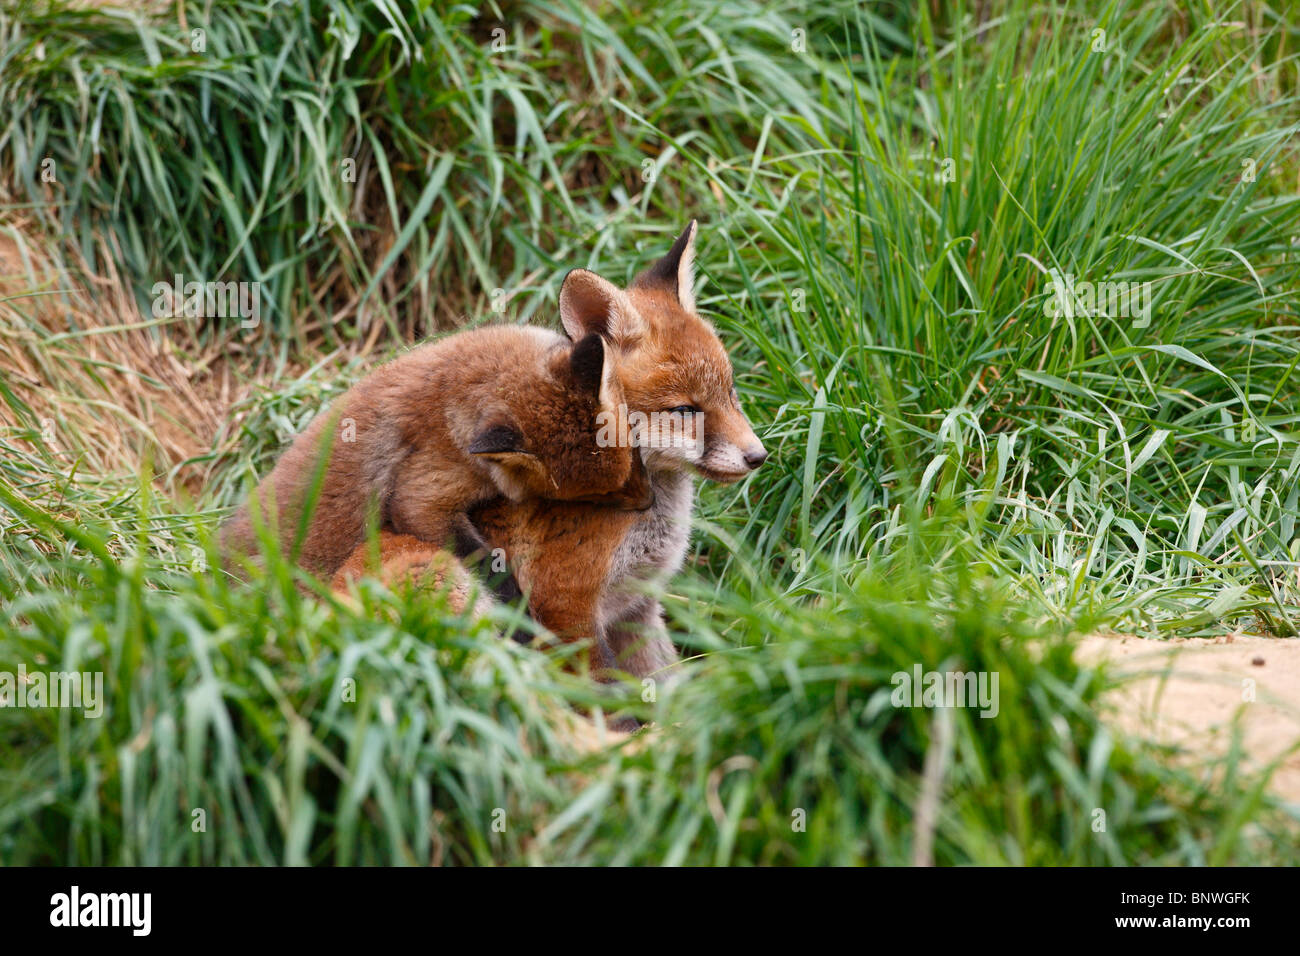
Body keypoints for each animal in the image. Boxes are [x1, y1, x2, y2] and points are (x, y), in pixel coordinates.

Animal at [335, 222, 768, 679]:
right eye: (684, 410)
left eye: (730, 391)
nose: (758, 456)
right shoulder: (564, 604)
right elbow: (605, 687)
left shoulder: (637, 610)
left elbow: (665, 681)